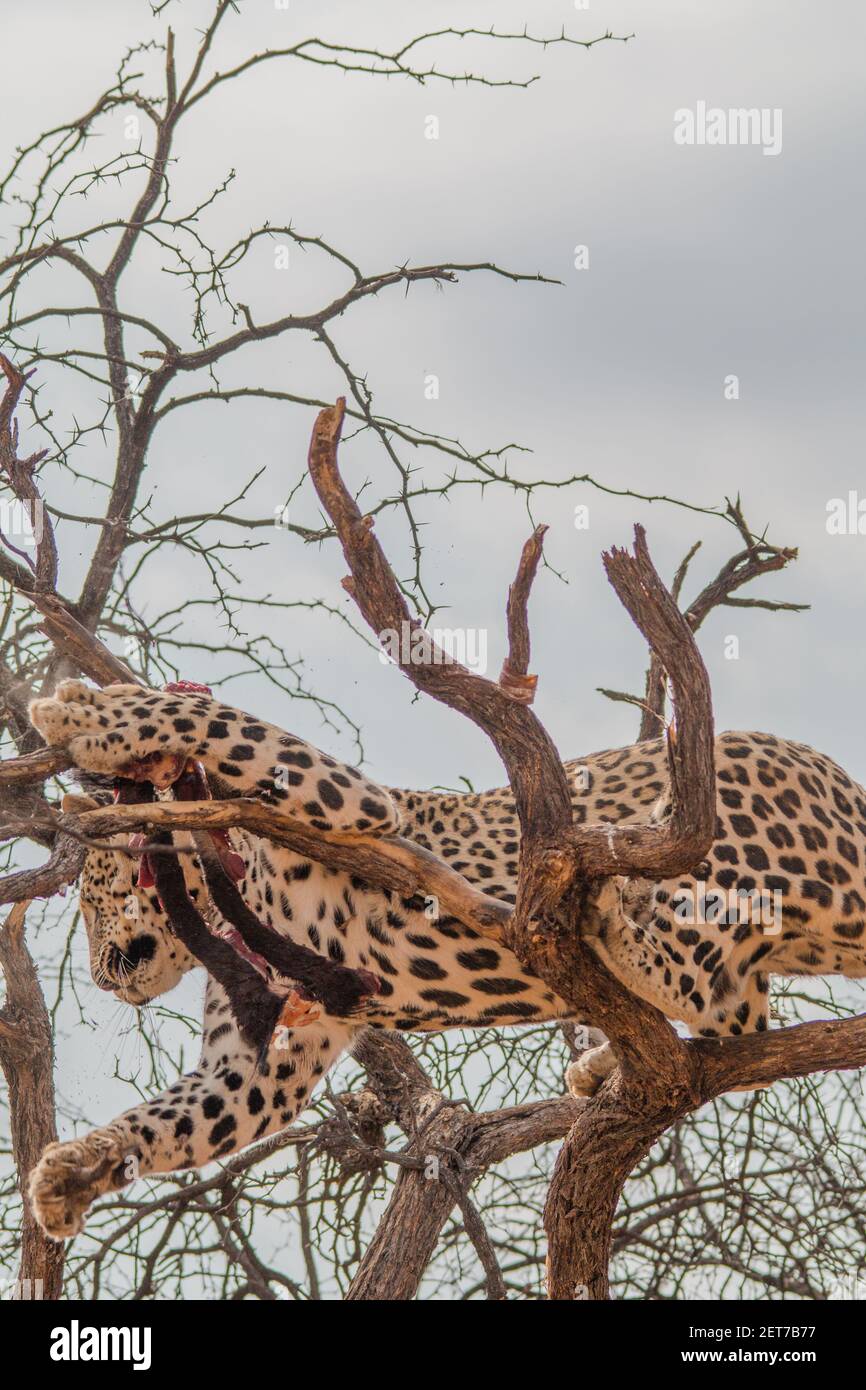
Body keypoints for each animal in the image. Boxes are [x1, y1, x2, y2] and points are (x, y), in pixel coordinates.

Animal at [23, 679, 866, 1240]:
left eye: (94, 891)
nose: (101, 975)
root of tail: (842, 784)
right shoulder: (264, 1059)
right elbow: (176, 1119)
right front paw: (76, 1172)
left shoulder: (353, 803)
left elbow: (219, 717)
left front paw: (83, 707)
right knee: (738, 1017)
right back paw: (607, 1056)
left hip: (734, 820)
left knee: (701, 953)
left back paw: (607, 914)